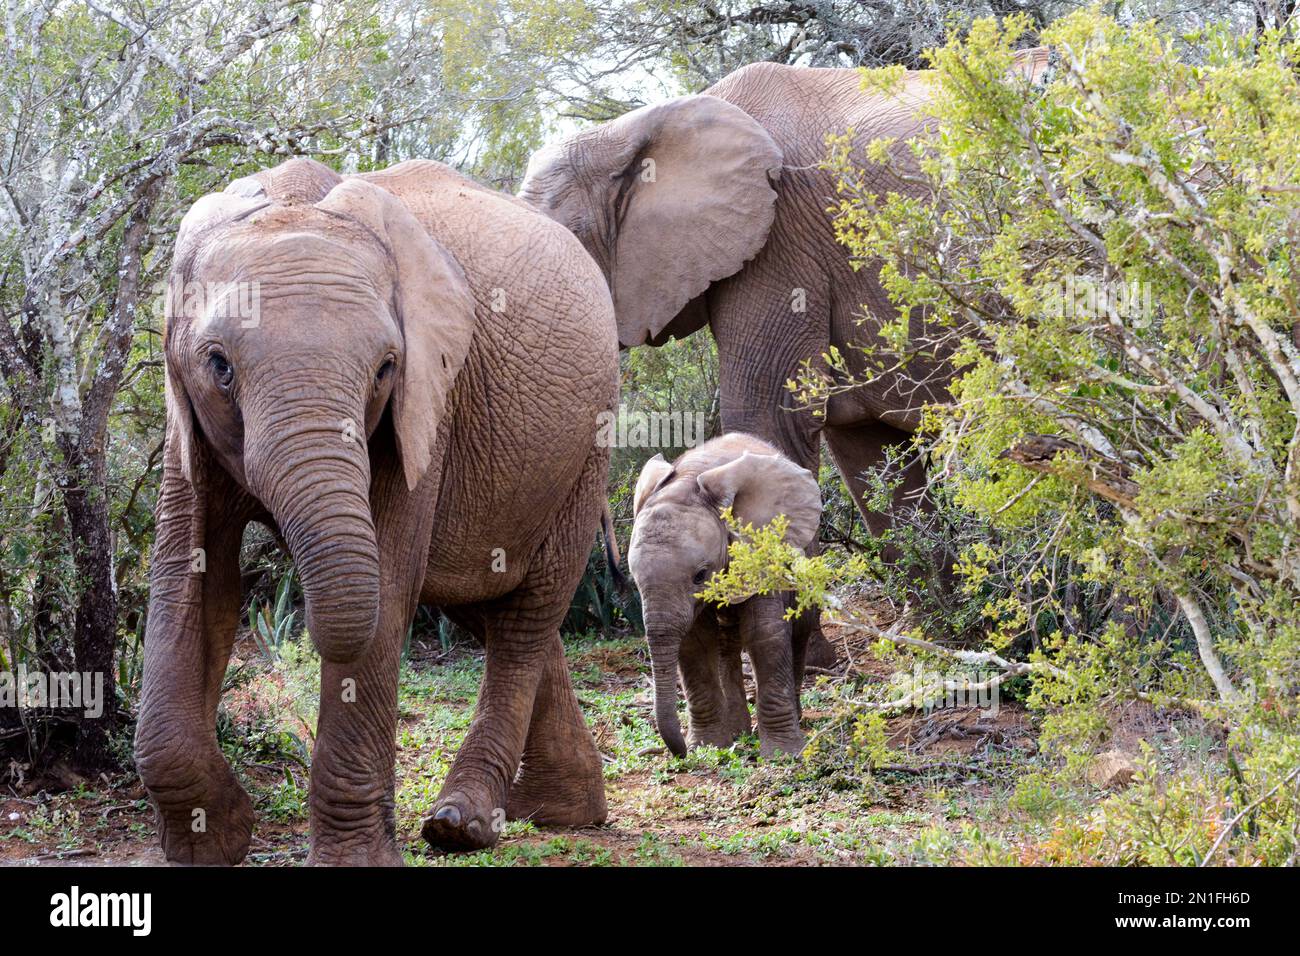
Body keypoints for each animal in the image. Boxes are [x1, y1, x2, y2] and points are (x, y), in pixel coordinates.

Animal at [135, 156, 619, 865]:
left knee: (527, 612)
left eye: (385, 368)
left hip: (587, 444)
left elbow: (387, 590)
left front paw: (355, 858)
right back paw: (561, 812)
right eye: (219, 365)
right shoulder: (188, 421)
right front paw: (214, 838)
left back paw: (463, 825)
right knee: (482, 599)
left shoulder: (426, 408)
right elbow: (189, 582)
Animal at [628, 433, 821, 758]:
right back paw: (738, 731)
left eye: (700, 575)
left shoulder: (759, 545)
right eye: (635, 580)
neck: (691, 477)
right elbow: (695, 641)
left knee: (800, 628)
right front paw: (708, 746)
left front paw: (783, 754)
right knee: (726, 644)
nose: (680, 752)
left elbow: (764, 633)